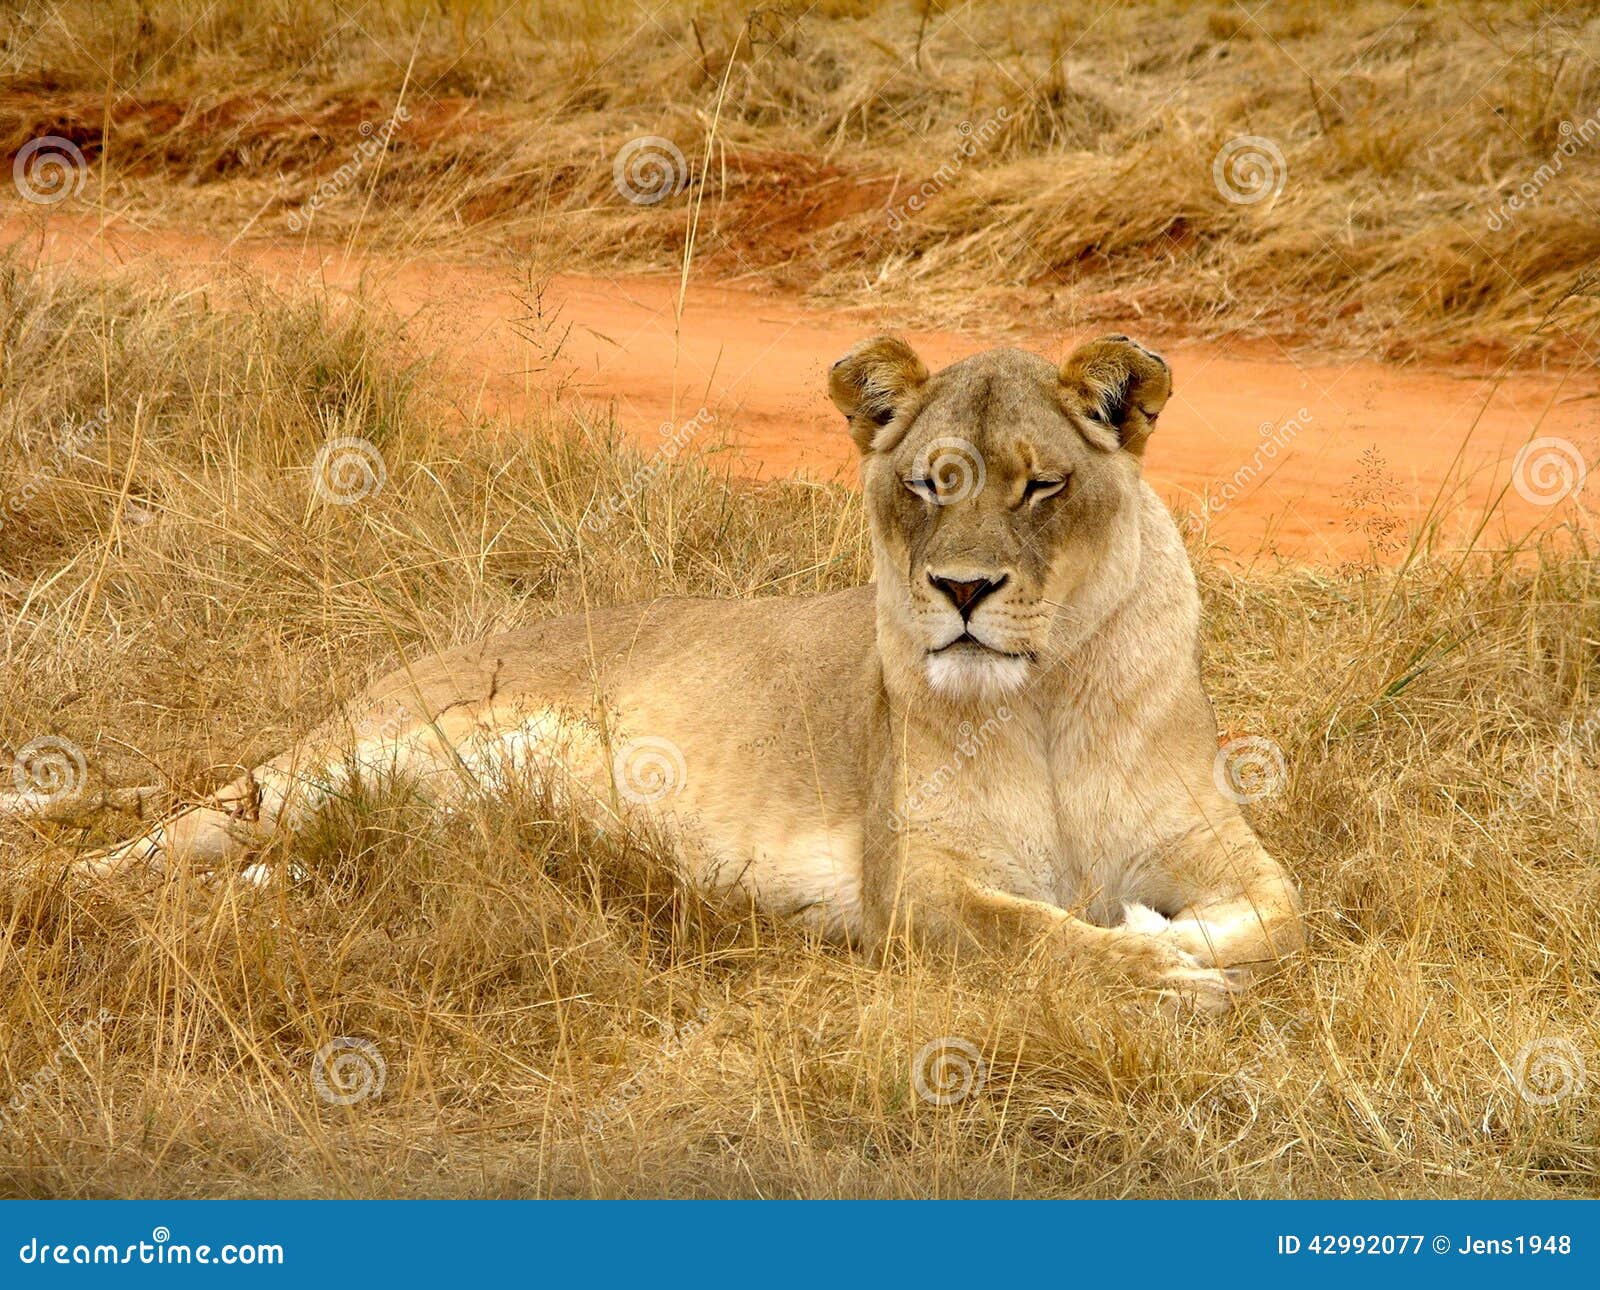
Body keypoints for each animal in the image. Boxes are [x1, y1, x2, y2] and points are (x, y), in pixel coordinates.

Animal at [34, 334, 1303, 1011]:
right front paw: (1162, 973)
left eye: (1040, 484)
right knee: (149, 842)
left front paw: (1170, 940)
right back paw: (68, 889)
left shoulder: (1221, 847)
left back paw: (275, 893)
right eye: (927, 485)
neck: (1039, 700)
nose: (962, 592)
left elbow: (1278, 916)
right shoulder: (911, 884)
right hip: (341, 763)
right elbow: (1040, 937)